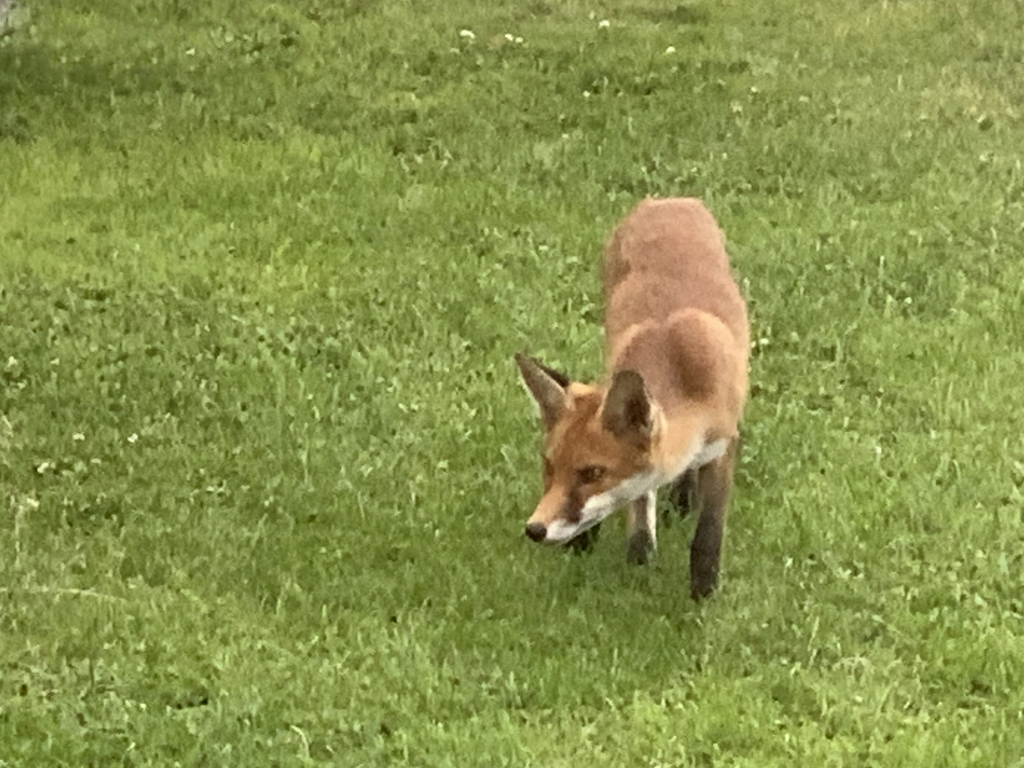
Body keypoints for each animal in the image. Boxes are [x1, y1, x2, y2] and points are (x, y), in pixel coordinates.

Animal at [516, 197, 749, 599]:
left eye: (592, 473)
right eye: (549, 465)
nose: (535, 529)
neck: (677, 366)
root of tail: (666, 200)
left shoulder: (723, 446)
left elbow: (708, 532)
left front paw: (702, 593)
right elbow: (640, 507)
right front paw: (639, 561)